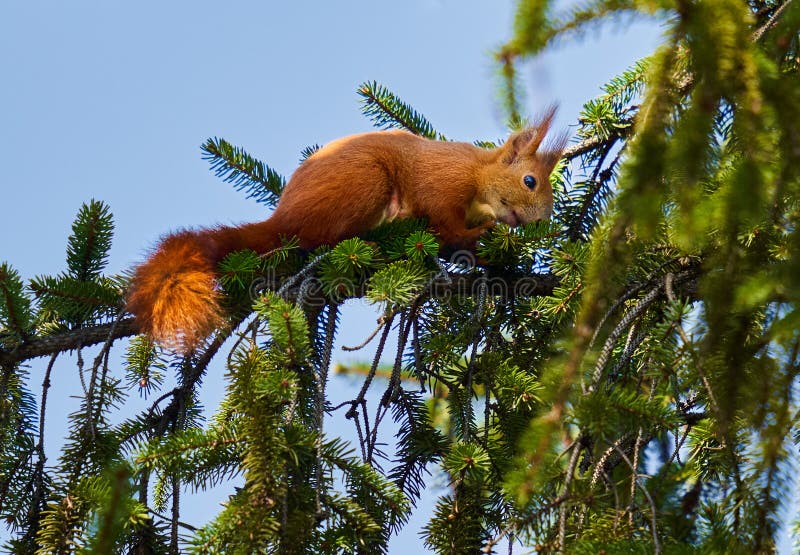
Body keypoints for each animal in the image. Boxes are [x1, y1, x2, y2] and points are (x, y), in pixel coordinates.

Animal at [126, 110, 566, 351]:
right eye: (530, 181)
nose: (540, 220)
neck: (478, 177)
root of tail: (283, 218)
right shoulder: (442, 184)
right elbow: (447, 229)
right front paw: (483, 242)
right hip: (365, 183)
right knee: (321, 239)